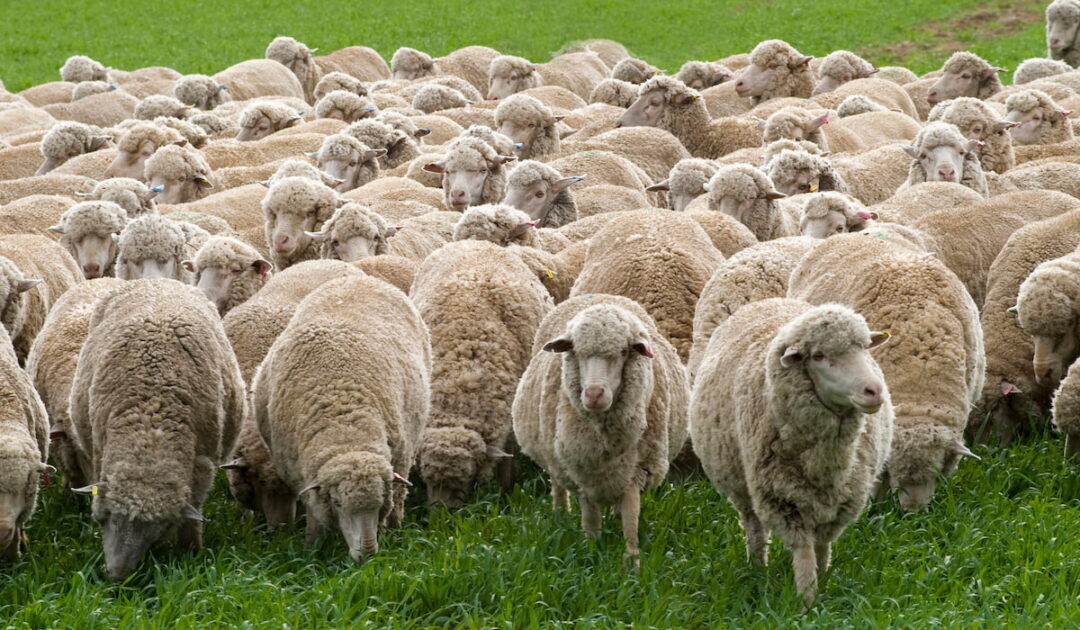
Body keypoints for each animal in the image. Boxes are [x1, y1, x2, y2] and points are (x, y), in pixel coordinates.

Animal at [69, 279, 245, 579]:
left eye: (159, 528)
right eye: (108, 517)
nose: (118, 577)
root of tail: (161, 280)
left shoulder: (202, 466)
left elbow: (192, 516)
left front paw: (190, 554)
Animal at [253, 274, 428, 561]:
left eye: (380, 501)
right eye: (336, 502)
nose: (367, 555)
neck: (345, 429)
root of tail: (357, 278)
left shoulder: (399, 460)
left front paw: (392, 532)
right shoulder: (301, 475)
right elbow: (314, 513)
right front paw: (312, 546)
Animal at [513, 294, 688, 560]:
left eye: (624, 351)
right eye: (575, 351)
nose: (594, 394)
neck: (604, 437)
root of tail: (600, 296)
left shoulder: (637, 472)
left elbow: (630, 518)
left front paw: (632, 560)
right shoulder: (582, 470)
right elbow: (591, 520)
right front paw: (593, 552)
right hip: (554, 455)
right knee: (557, 485)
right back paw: (560, 515)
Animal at [691, 298, 892, 608]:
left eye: (864, 348)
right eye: (819, 356)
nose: (874, 391)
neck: (825, 463)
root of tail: (769, 301)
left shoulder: (843, 499)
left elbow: (821, 545)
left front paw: (825, 582)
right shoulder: (780, 499)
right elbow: (804, 550)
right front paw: (807, 601)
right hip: (743, 488)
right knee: (754, 528)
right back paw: (757, 568)